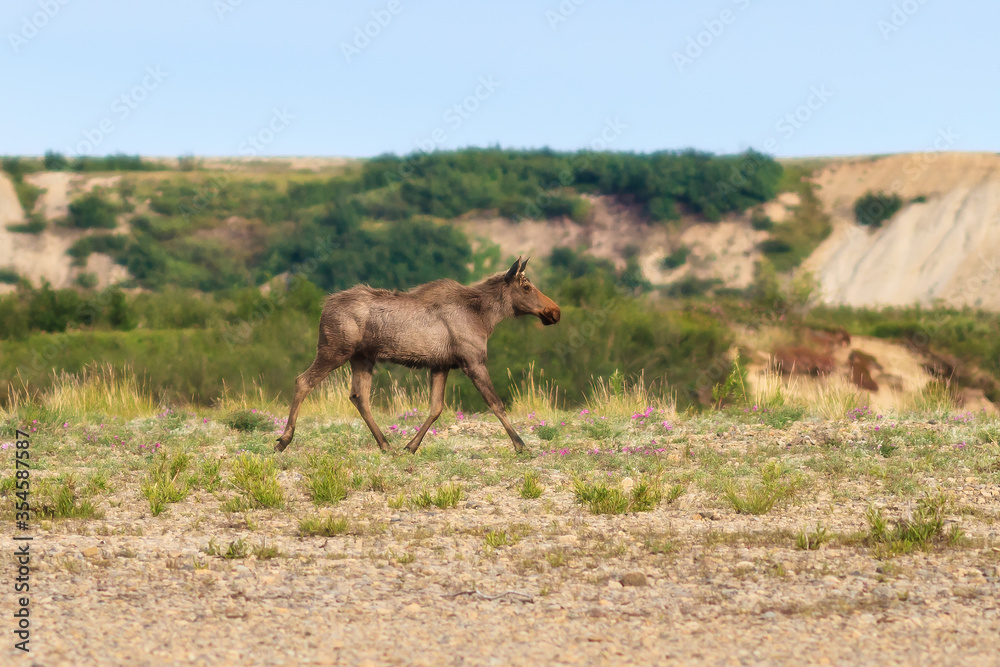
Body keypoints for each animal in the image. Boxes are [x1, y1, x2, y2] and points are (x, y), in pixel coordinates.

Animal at [275, 257, 561, 455]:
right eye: (526, 286)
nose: (555, 311)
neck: (485, 318)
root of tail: (324, 308)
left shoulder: (441, 365)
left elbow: (436, 408)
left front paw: (411, 446)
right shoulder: (473, 361)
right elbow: (496, 404)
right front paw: (521, 445)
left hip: (362, 358)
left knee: (359, 396)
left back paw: (385, 444)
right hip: (334, 351)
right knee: (303, 381)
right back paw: (283, 440)